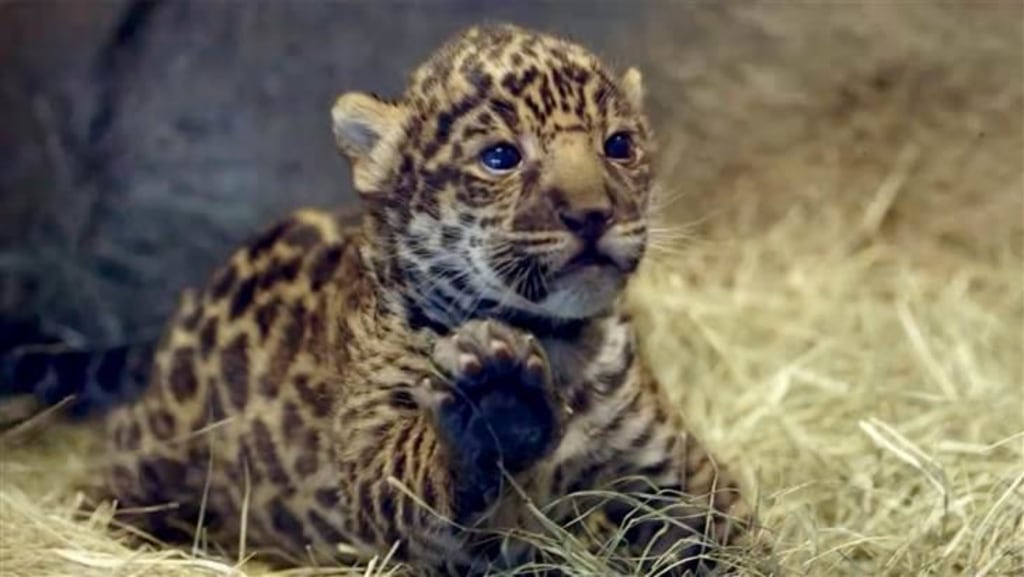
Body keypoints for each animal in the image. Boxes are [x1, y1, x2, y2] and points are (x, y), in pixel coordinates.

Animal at [1, 23, 763, 576]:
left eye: (619, 145)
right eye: (500, 158)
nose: (592, 214)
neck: (560, 345)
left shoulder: (673, 473)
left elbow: (733, 534)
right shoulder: (377, 458)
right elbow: (414, 471)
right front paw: (499, 405)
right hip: (163, 440)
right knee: (117, 455)